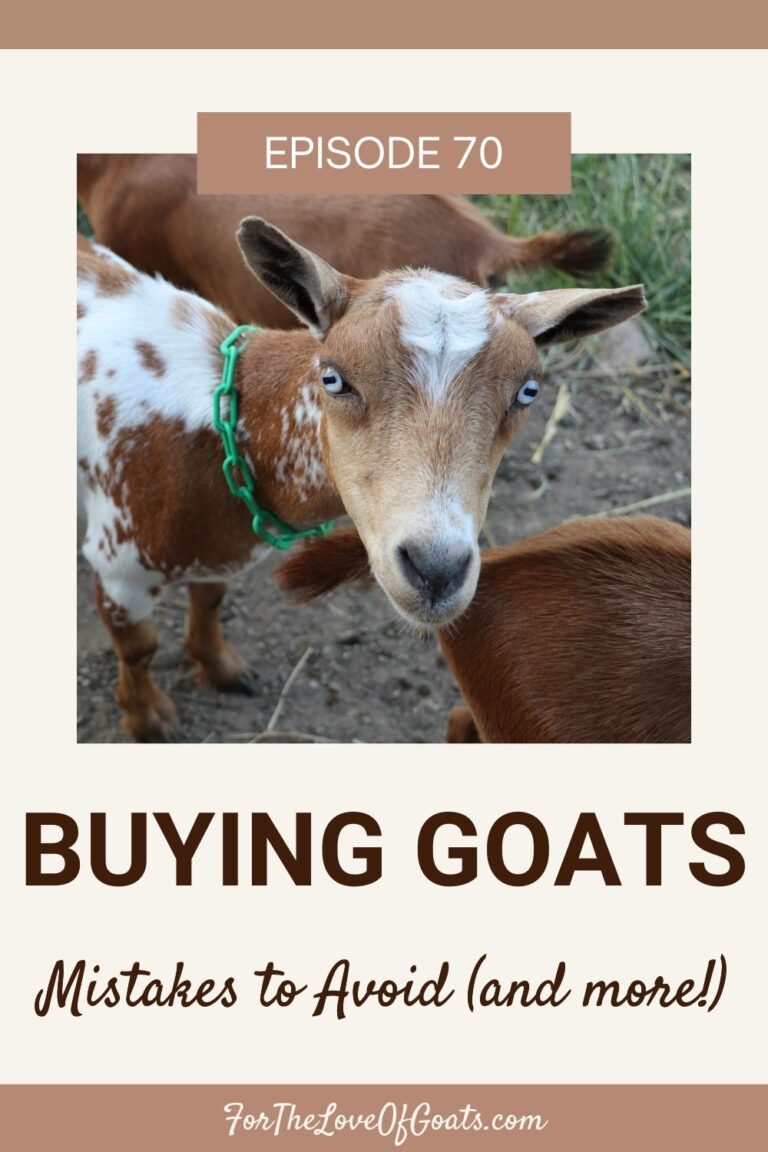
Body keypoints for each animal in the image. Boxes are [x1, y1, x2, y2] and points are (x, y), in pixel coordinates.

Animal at [77, 218, 644, 740]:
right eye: (332, 378)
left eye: (528, 391)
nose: (435, 570)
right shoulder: (118, 562)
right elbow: (140, 648)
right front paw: (149, 719)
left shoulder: (217, 549)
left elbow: (211, 596)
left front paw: (220, 666)